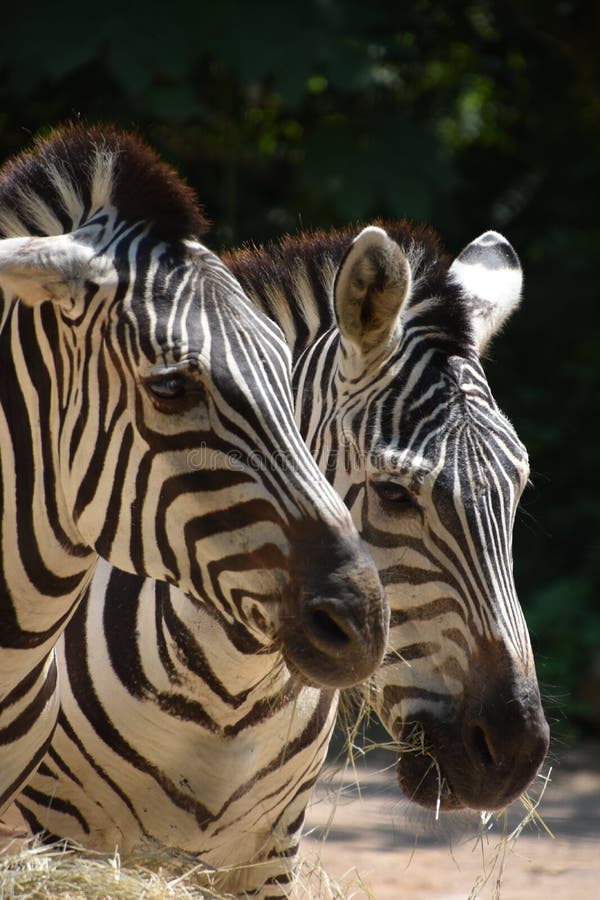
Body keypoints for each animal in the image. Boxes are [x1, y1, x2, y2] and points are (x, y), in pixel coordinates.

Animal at [7, 222, 549, 896]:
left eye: (519, 487)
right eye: (394, 493)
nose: (515, 751)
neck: (229, 702)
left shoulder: (270, 855)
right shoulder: (61, 838)